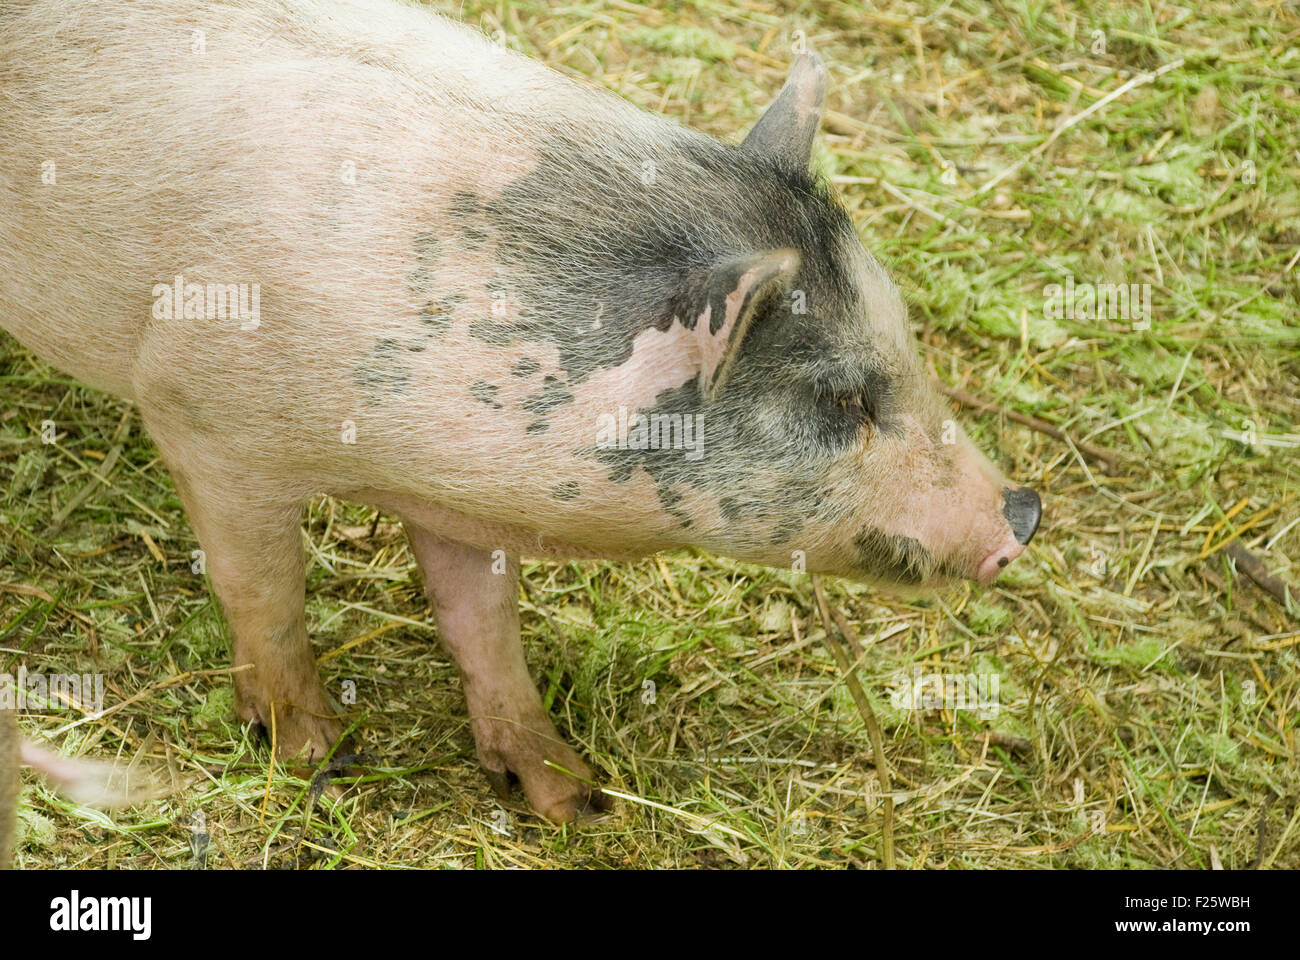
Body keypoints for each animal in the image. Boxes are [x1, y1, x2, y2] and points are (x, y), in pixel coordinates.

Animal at [0, 0, 1041, 822]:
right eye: (839, 396)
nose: (1025, 512)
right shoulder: (206, 420)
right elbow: (266, 596)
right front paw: (321, 760)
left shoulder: (461, 497)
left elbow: (483, 624)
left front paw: (574, 798)